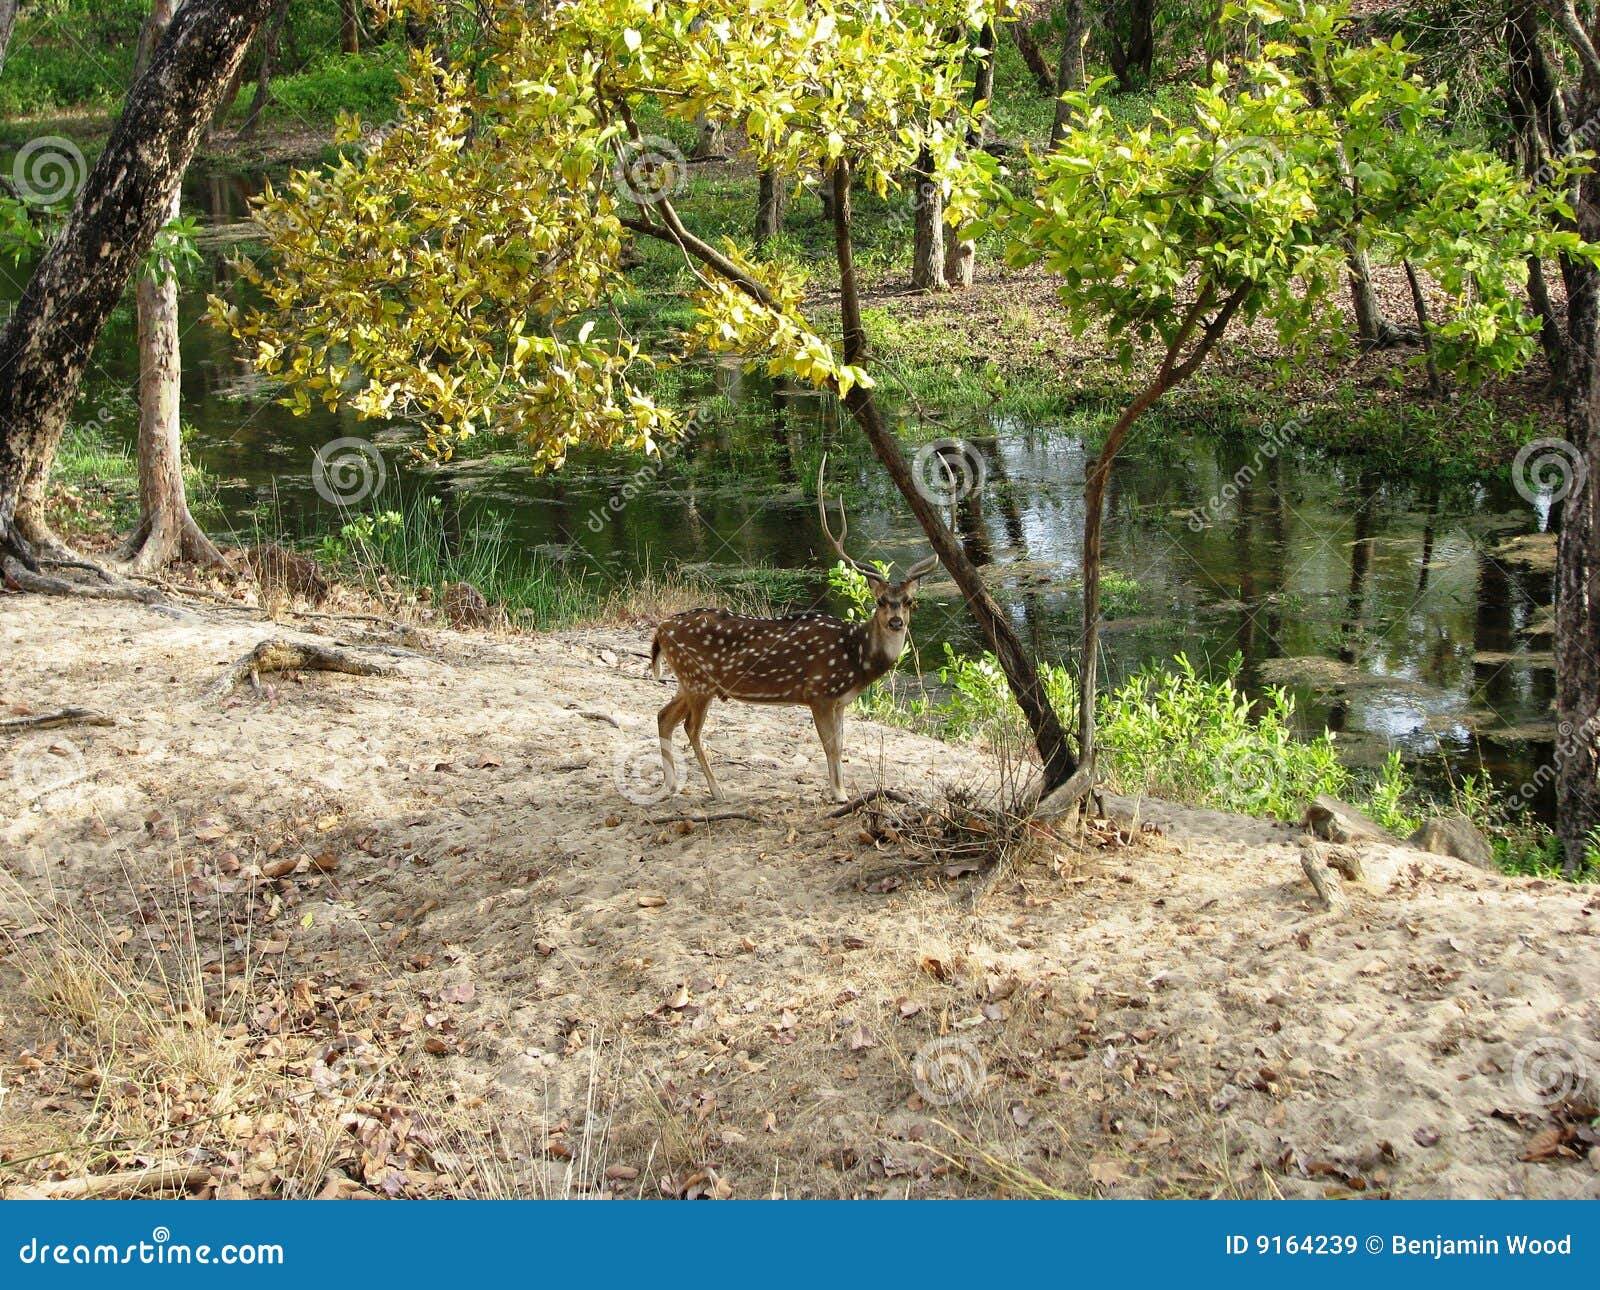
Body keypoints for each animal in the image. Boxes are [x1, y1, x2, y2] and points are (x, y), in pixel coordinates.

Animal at [650, 457, 940, 803]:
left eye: (909, 601)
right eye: (881, 601)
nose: (896, 622)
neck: (855, 657)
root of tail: (661, 628)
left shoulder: (840, 701)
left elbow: (841, 745)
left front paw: (842, 790)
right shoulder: (819, 692)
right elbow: (830, 746)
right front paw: (839, 794)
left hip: (687, 680)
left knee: (663, 716)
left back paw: (671, 784)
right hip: (698, 680)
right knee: (690, 728)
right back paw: (716, 790)